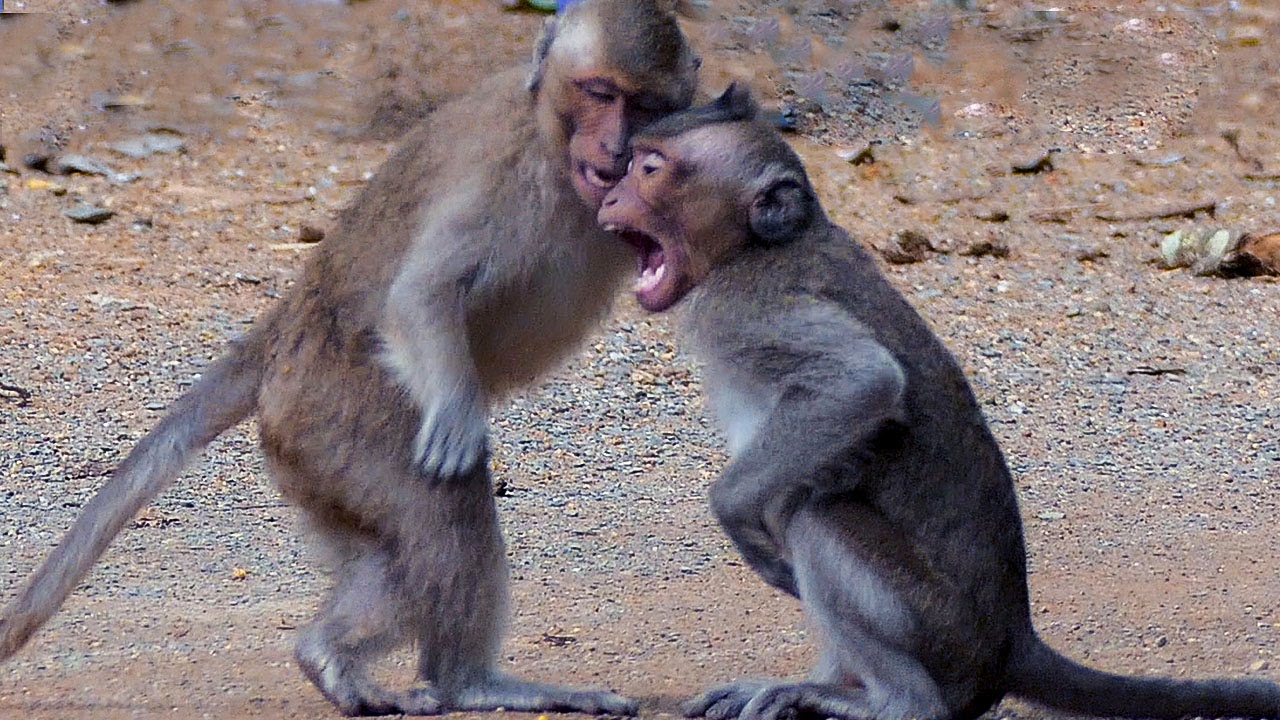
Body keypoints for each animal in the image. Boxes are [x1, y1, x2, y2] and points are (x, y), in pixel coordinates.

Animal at [0, 1, 699, 716]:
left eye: (644, 104)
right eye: (601, 94)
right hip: (334, 416)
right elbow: (422, 293)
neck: (551, 141)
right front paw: (458, 415)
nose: (616, 148)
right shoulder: (505, 174)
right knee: (446, 517)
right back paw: (469, 681)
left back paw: (328, 654)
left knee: (390, 554)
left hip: (310, 452)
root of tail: (286, 328)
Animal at [597, 84, 1280, 720]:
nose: (608, 197)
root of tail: (1010, 639)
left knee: (819, 518)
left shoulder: (749, 304)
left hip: (935, 625)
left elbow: (862, 380)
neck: (752, 247)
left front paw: (734, 511)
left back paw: (887, 699)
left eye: (649, 169)